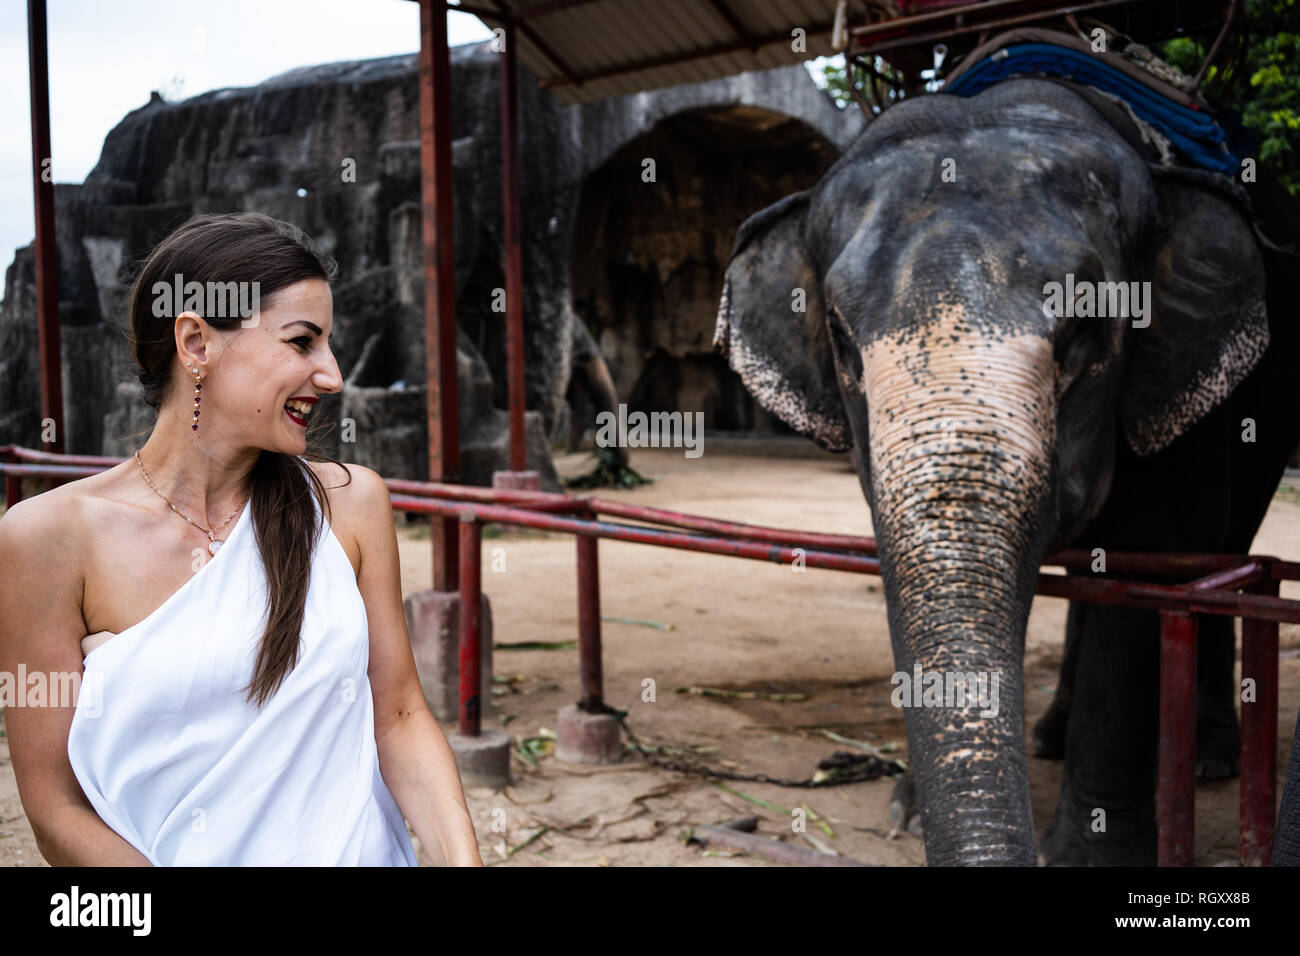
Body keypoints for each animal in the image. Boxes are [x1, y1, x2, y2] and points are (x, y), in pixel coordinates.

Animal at [714, 75, 1300, 866]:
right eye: (839, 338)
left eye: (1086, 328)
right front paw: (911, 818)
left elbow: (1152, 561)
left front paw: (1090, 856)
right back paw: (1050, 735)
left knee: (1224, 544)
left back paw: (1208, 757)